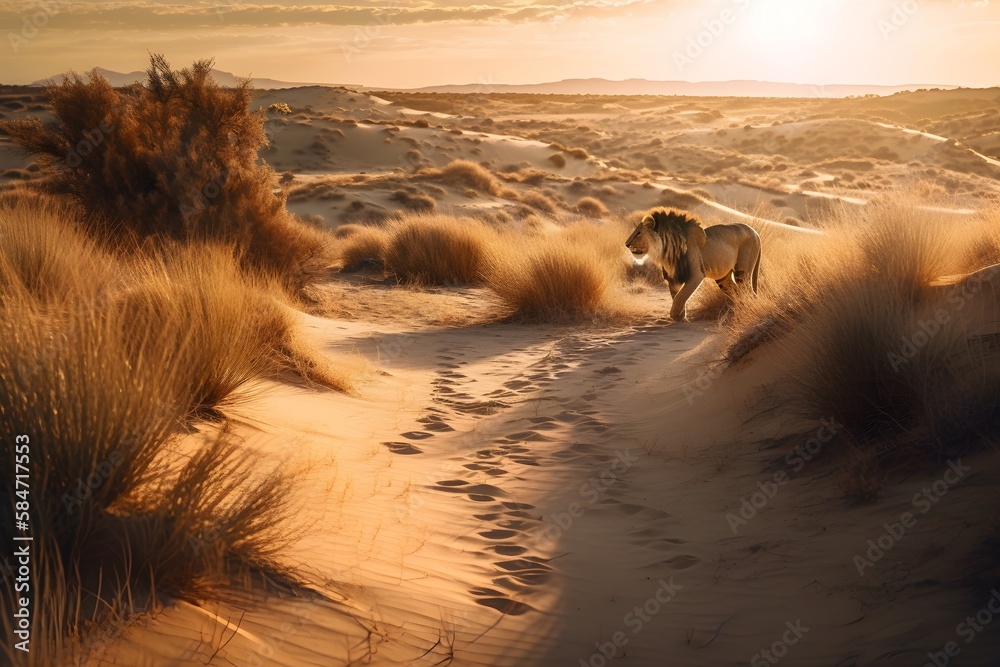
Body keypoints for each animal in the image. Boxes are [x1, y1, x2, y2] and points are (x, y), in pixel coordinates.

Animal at [625, 208, 761, 322]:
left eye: (638, 233)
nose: (626, 244)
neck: (666, 250)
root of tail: (755, 232)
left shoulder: (696, 274)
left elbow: (681, 296)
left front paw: (677, 316)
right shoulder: (673, 278)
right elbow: (677, 296)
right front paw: (681, 317)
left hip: (742, 272)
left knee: (748, 292)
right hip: (723, 278)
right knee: (737, 292)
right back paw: (736, 312)